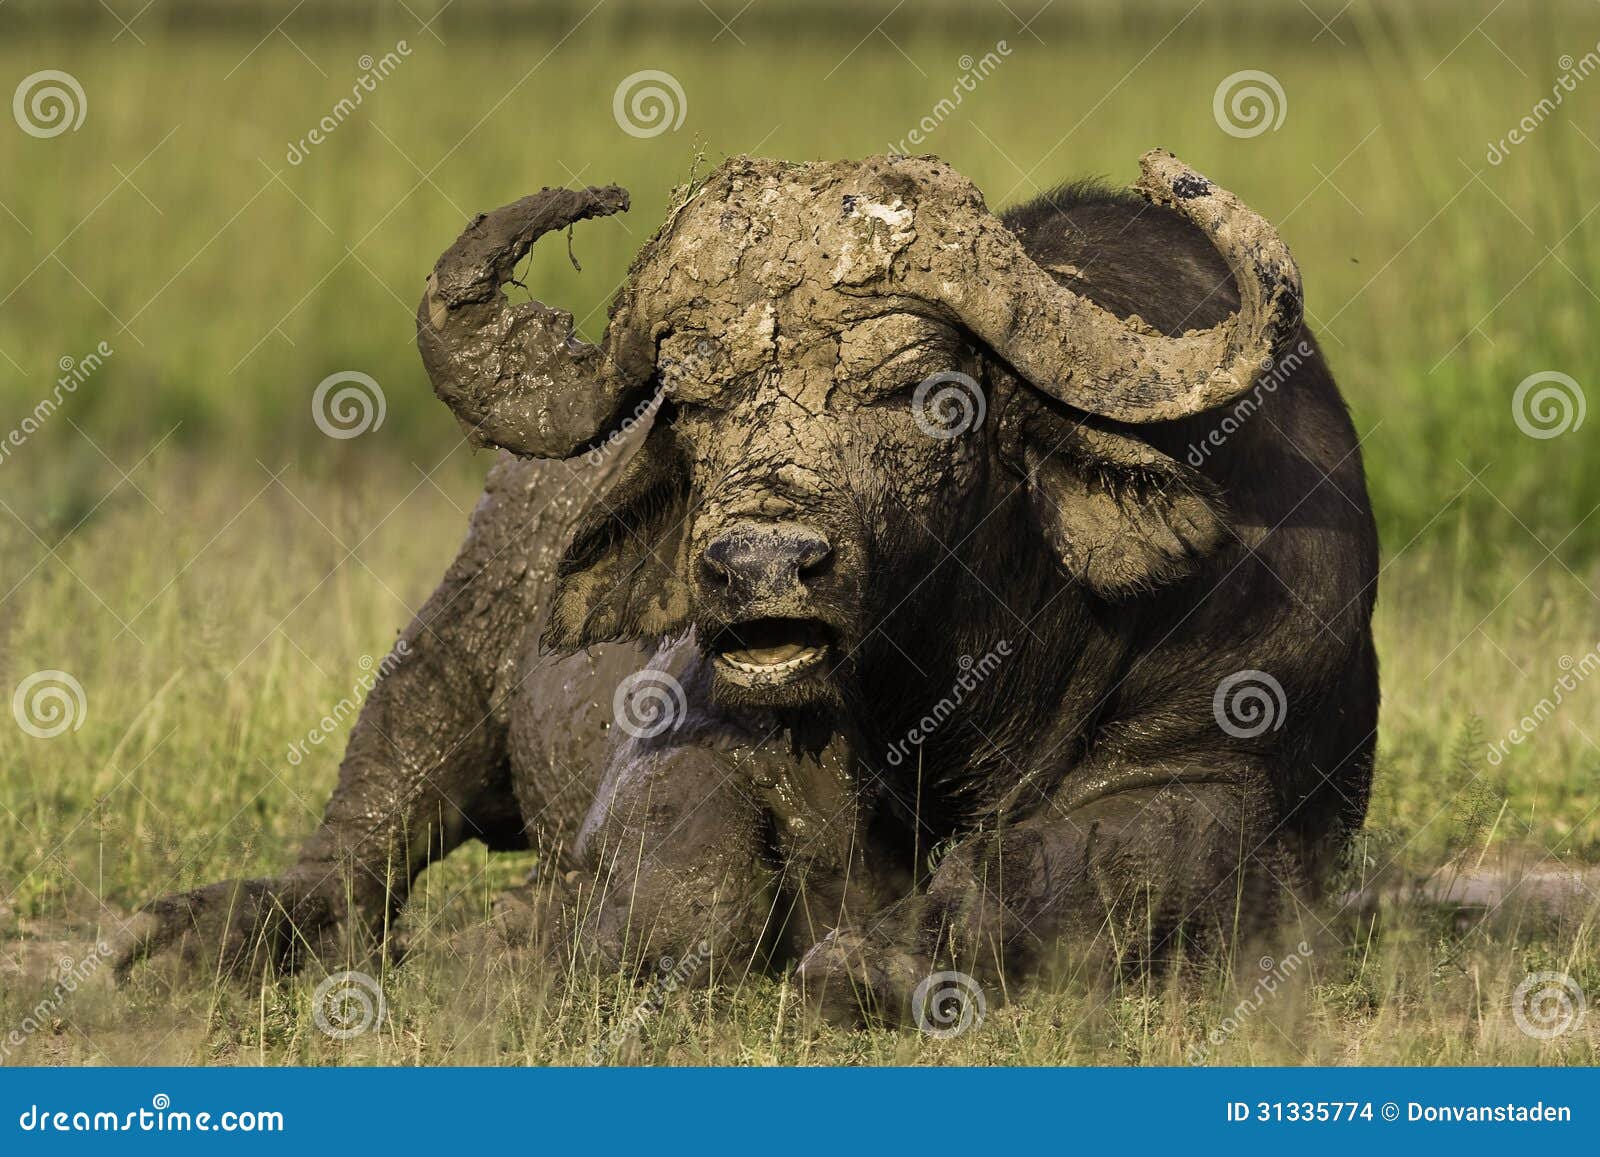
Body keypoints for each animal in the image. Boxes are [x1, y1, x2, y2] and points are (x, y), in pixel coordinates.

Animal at [118, 151, 1378, 1026]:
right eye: (690, 396)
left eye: (923, 391)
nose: (760, 564)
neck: (954, 694)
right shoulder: (678, 740)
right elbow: (694, 883)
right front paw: (541, 935)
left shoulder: (1223, 766)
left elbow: (1080, 858)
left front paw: (890, 956)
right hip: (442, 655)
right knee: (363, 839)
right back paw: (186, 933)